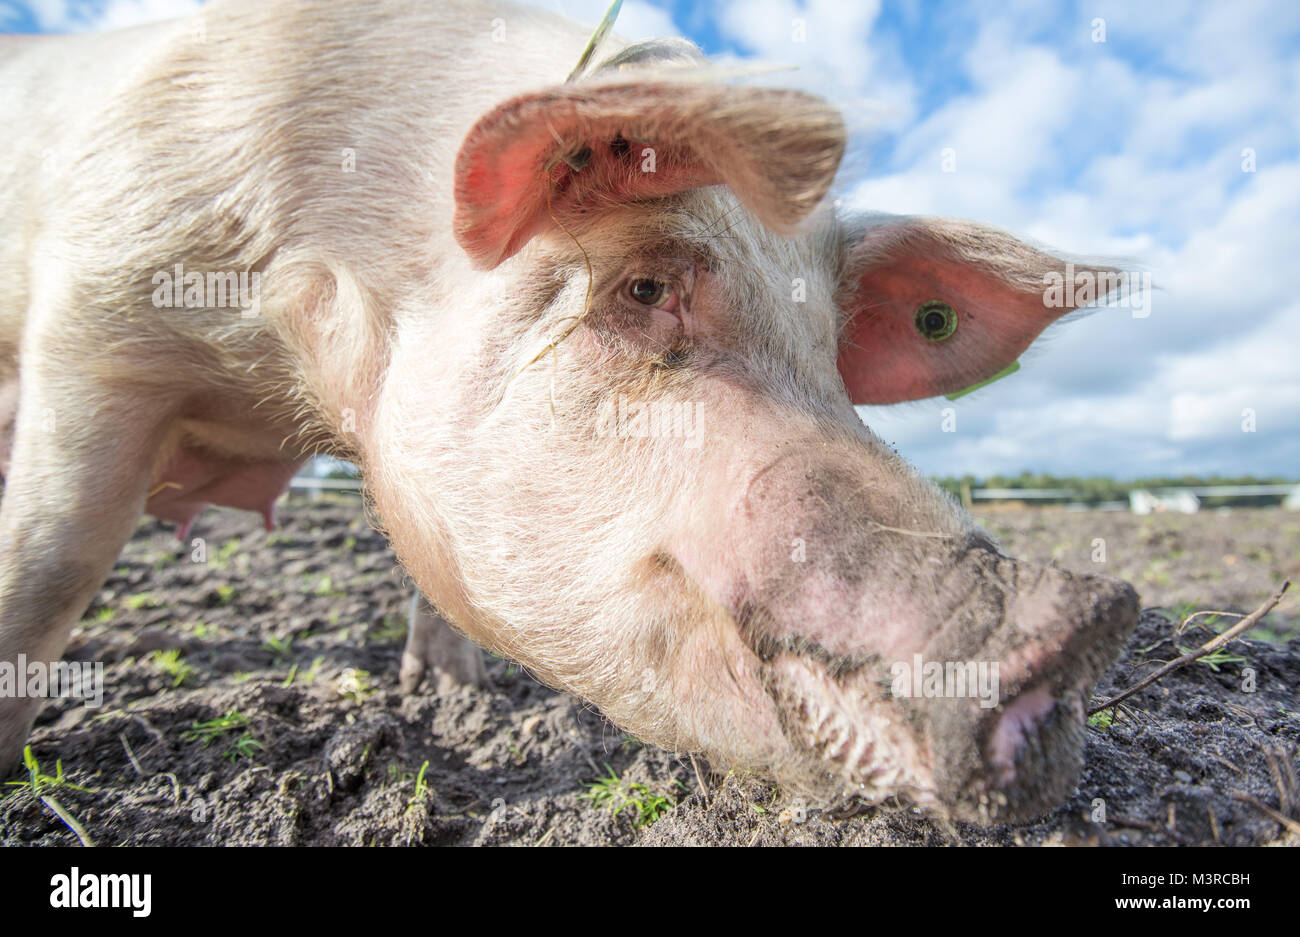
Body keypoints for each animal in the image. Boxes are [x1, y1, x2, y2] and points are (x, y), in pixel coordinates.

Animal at [0, 0, 1138, 824]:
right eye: (644, 287)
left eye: (828, 352)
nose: (1078, 619)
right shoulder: (95, 318)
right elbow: (52, 560)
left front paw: (449, 695)